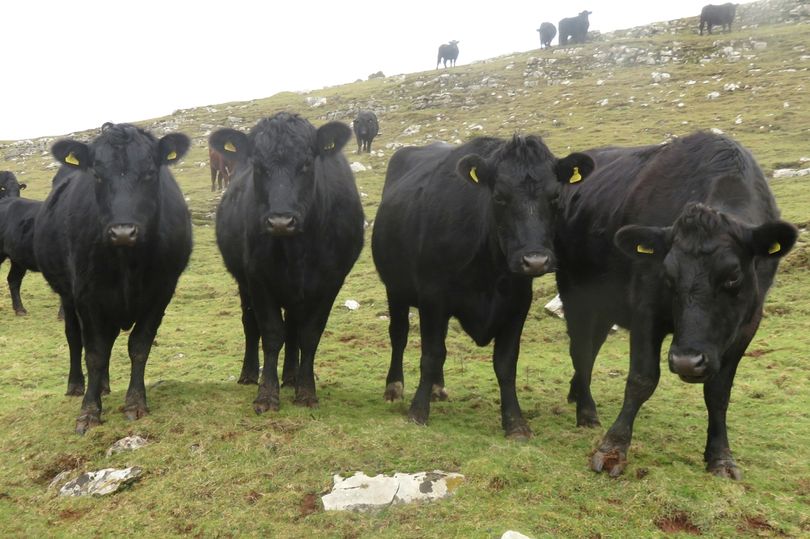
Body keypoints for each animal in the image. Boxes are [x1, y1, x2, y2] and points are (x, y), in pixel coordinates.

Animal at [34, 123, 192, 434]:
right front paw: (89, 412)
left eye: (150, 173)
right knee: (75, 338)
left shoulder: (160, 293)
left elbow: (139, 346)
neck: (128, 264)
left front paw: (135, 403)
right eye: (96, 174)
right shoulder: (87, 295)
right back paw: (77, 385)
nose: (122, 231)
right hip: (67, 296)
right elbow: (95, 353)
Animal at [212, 112, 364, 413]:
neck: (297, 251)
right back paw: (249, 373)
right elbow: (272, 334)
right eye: (259, 166)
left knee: (293, 329)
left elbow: (309, 335)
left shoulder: (331, 283)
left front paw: (306, 391)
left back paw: (292, 377)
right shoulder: (258, 279)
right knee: (251, 324)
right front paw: (267, 394)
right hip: (244, 284)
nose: (280, 221)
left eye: (306, 163)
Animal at [372, 136, 595, 438]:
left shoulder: (517, 304)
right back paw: (394, 387)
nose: (535, 260)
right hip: (395, 289)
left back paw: (437, 388)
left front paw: (515, 422)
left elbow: (506, 363)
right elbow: (431, 354)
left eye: (555, 197)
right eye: (499, 196)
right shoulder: (433, 298)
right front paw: (417, 412)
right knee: (399, 335)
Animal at [554, 131, 797, 478]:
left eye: (733, 275)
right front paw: (612, 449)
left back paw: (577, 394)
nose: (686, 361)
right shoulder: (646, 310)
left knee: (592, 347)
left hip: (604, 306)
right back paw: (586, 411)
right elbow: (642, 379)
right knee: (582, 351)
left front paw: (721, 457)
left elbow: (718, 392)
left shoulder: (748, 323)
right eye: (667, 274)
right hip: (577, 296)